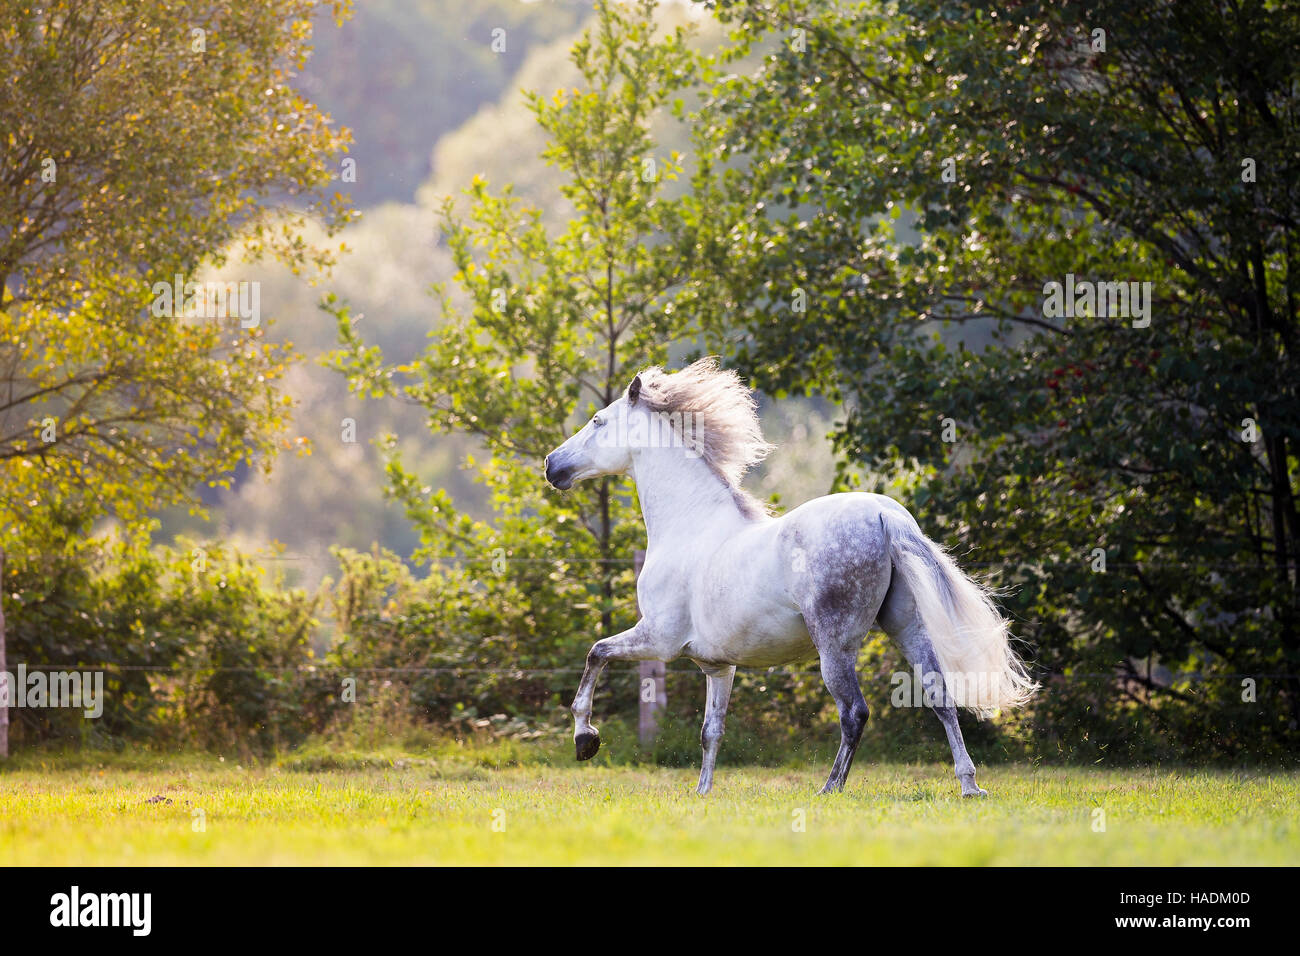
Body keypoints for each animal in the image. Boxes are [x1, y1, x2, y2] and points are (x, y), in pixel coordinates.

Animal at [543, 358, 1037, 796]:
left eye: (598, 420)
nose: (552, 465)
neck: (690, 526)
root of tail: (884, 515)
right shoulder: (718, 666)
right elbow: (711, 731)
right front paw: (702, 793)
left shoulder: (659, 640)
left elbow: (595, 654)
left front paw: (585, 740)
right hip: (907, 626)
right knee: (940, 697)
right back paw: (969, 786)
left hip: (834, 644)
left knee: (855, 712)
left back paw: (829, 788)